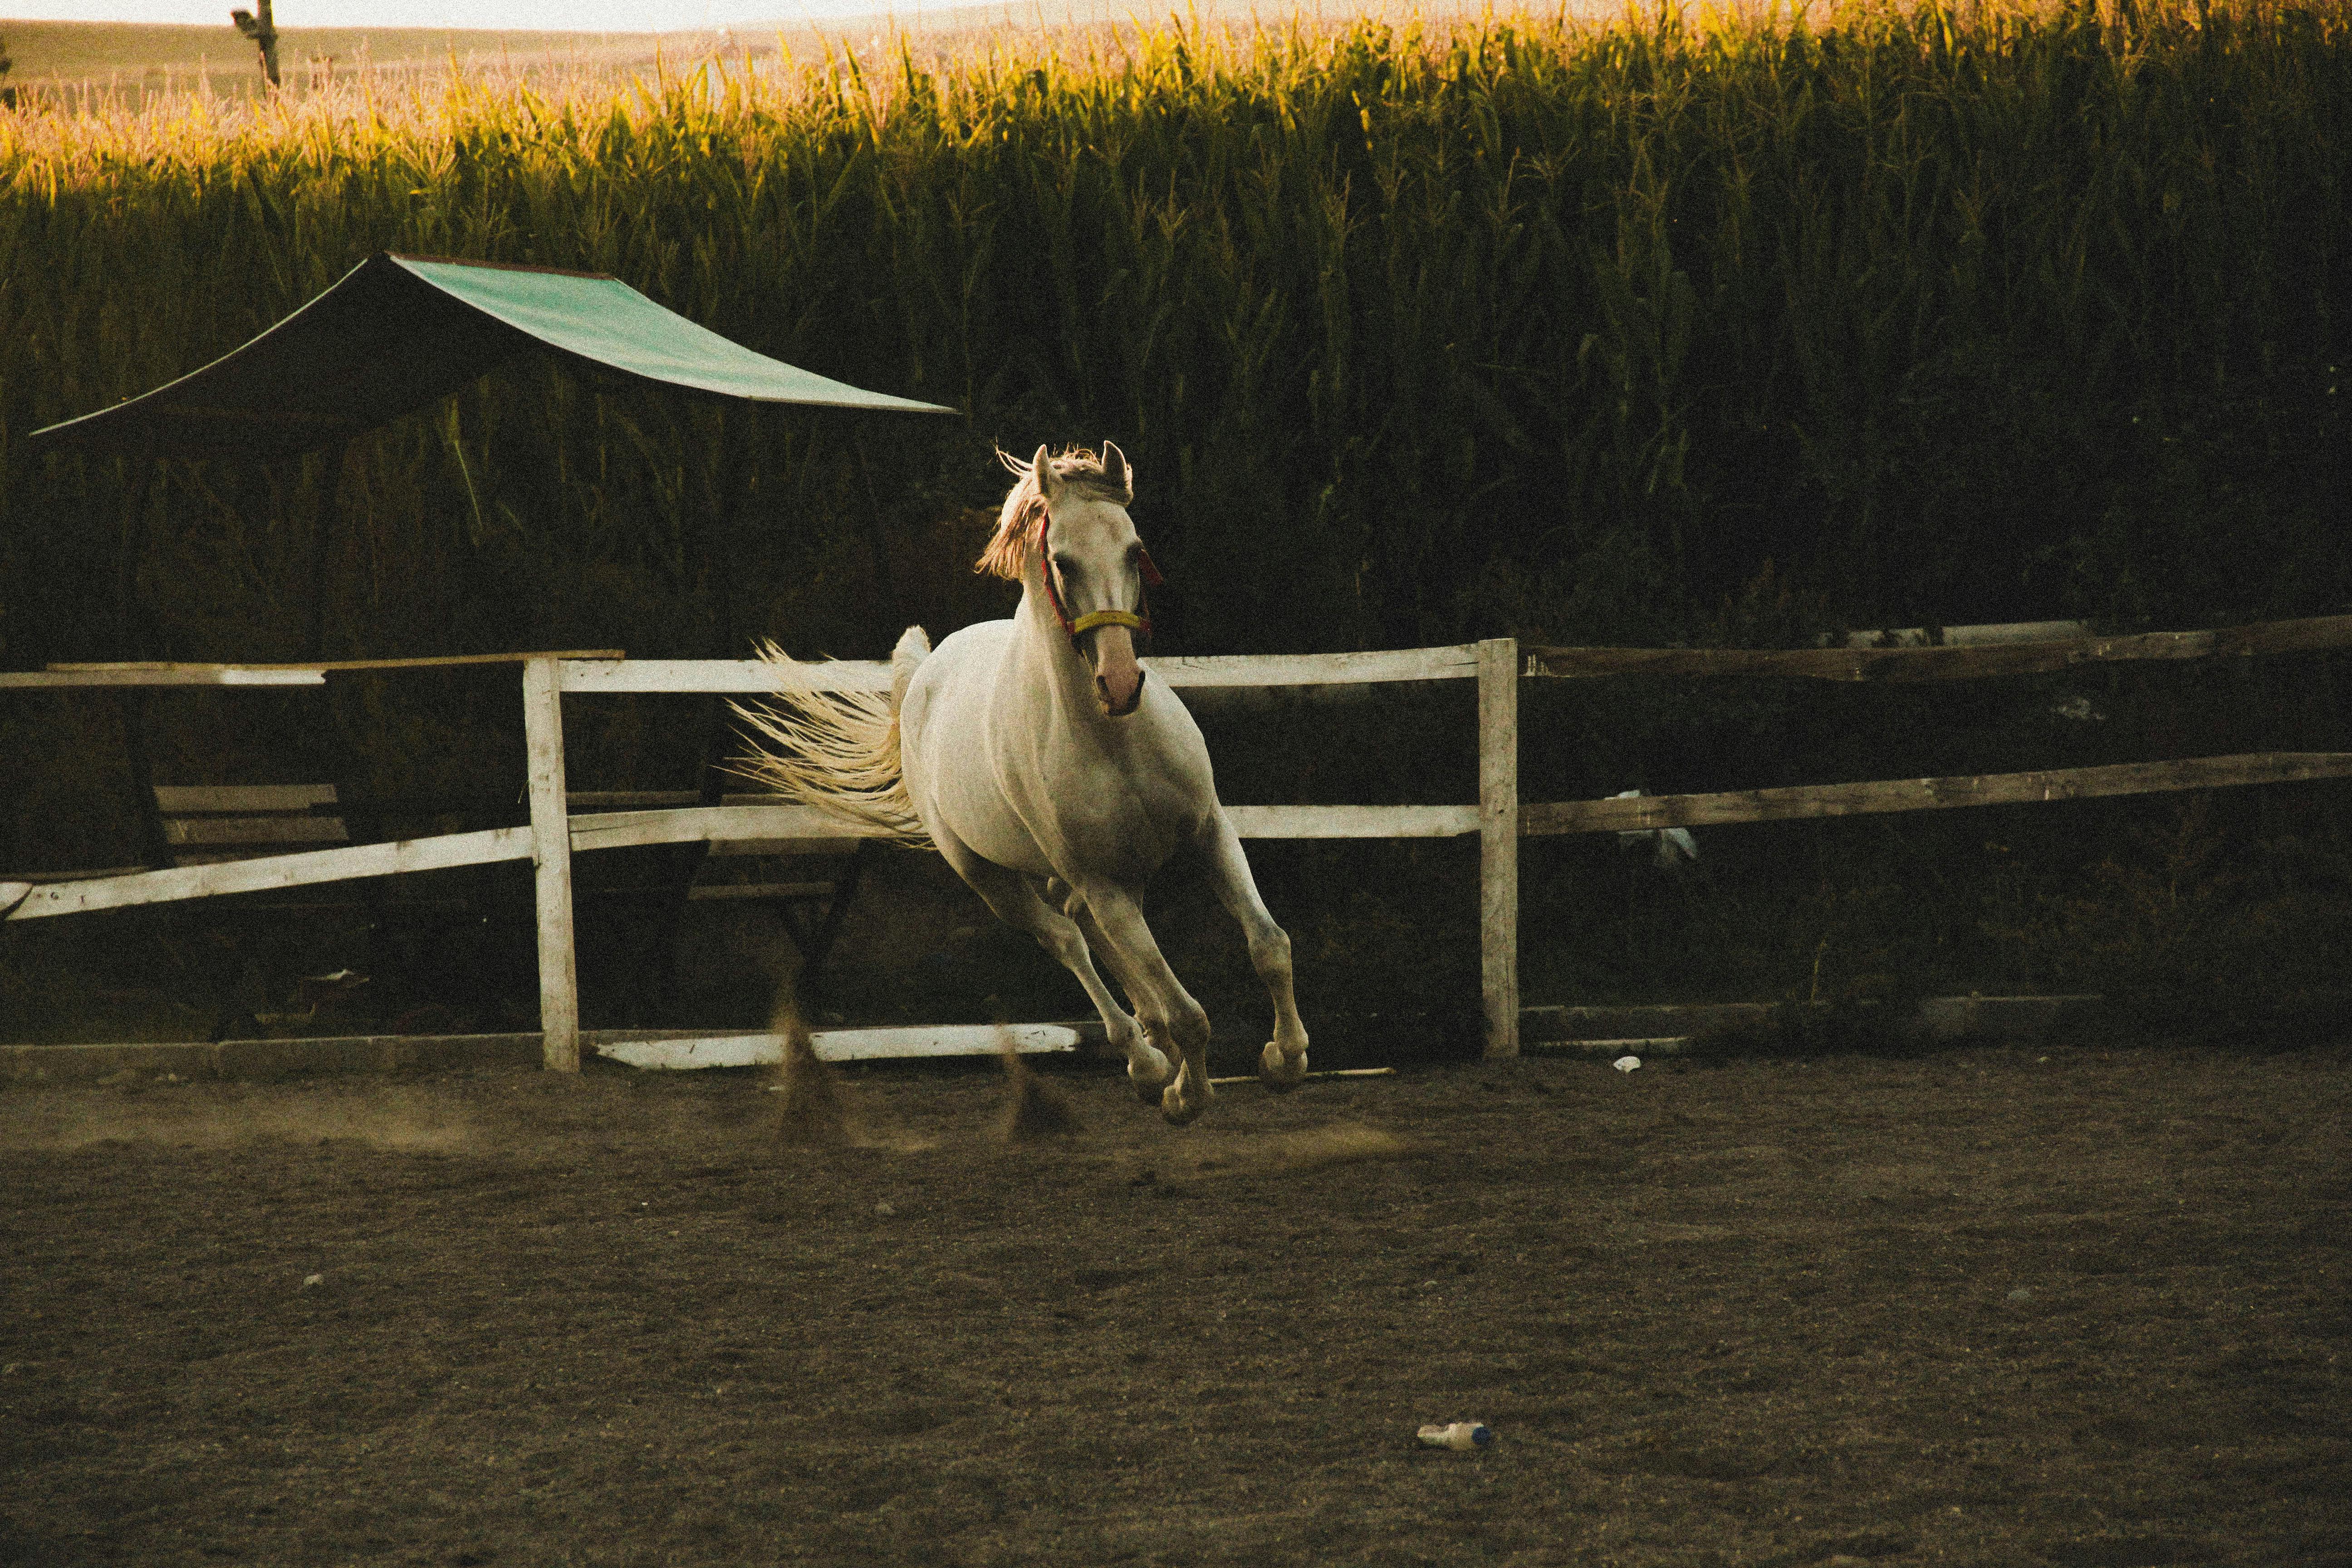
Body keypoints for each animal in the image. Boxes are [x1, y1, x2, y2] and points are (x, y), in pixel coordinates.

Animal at [734, 442, 1308, 1125]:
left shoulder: (1210, 833)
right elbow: (1186, 1012)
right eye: (1062, 560)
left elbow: (1270, 945)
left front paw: (1285, 1062)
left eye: (1134, 548)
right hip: (994, 880)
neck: (1112, 740)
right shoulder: (1104, 884)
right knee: (1068, 940)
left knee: (1092, 935)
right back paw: (1146, 1064)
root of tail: (924, 673)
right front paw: (1183, 1096)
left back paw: (1155, 1049)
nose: (1120, 683)